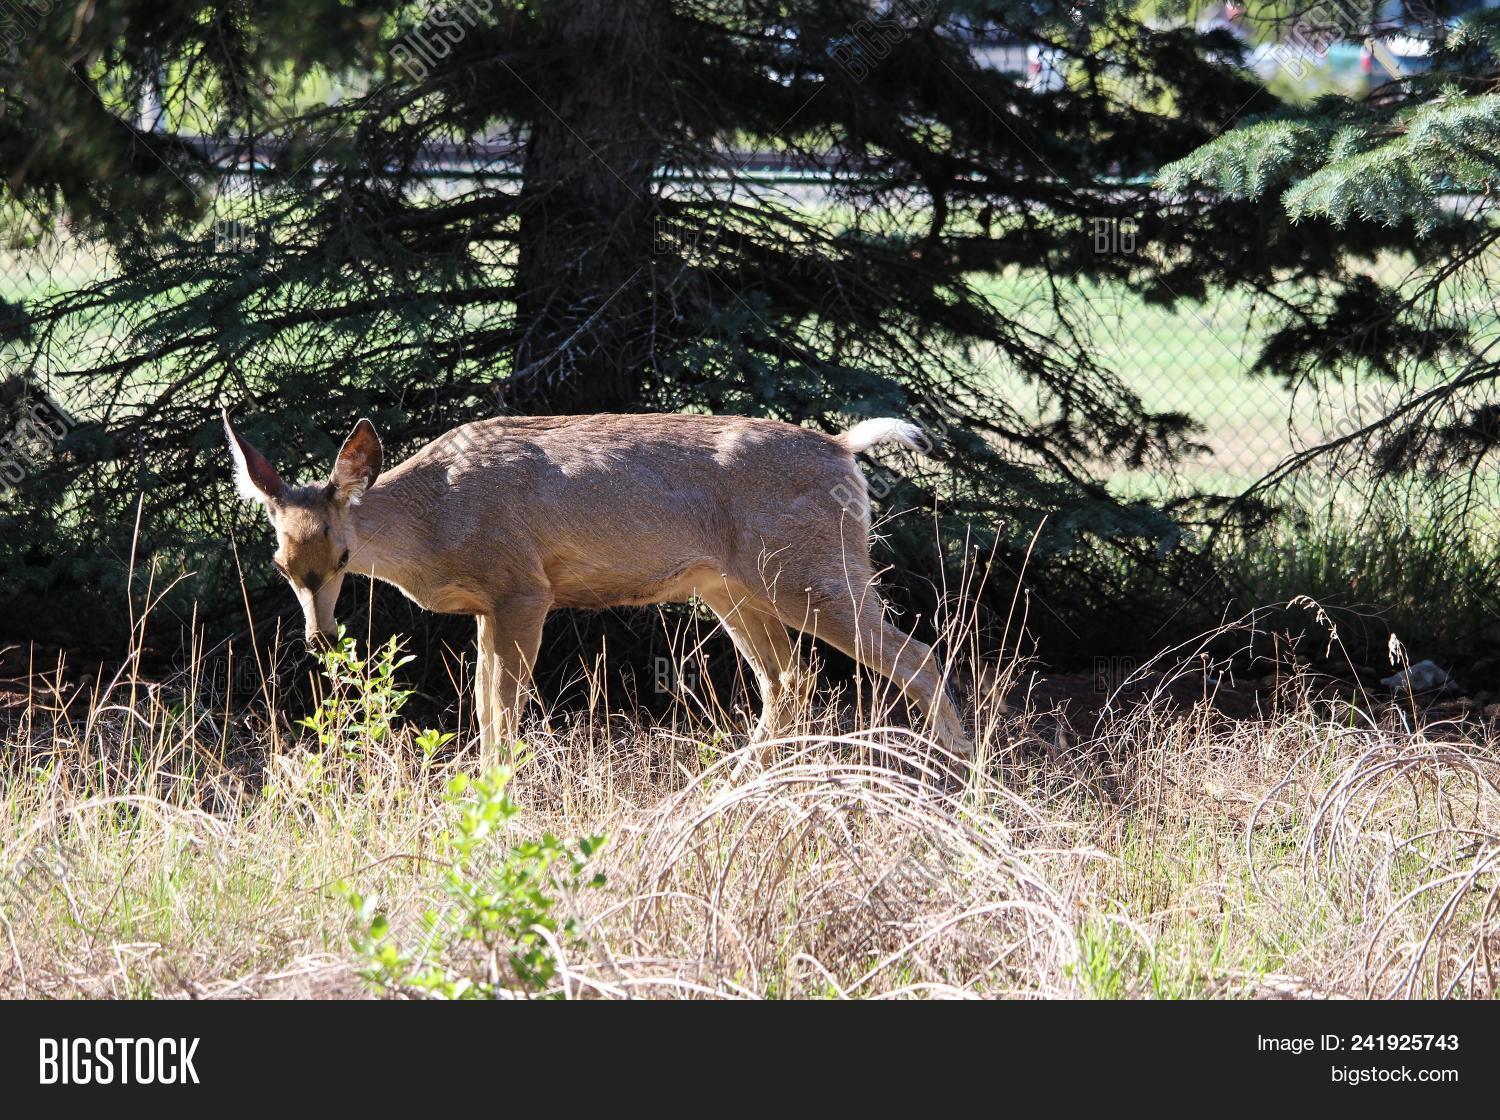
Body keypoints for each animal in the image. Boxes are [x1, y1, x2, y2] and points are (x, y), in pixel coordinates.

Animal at [223, 409, 973, 762]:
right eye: (280, 564)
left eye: (344, 555)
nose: (320, 637)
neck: (433, 520)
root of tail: (846, 450)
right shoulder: (485, 607)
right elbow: (483, 707)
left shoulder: (524, 587)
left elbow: (504, 711)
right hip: (732, 586)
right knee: (788, 681)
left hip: (809, 569)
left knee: (917, 658)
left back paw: (963, 781)